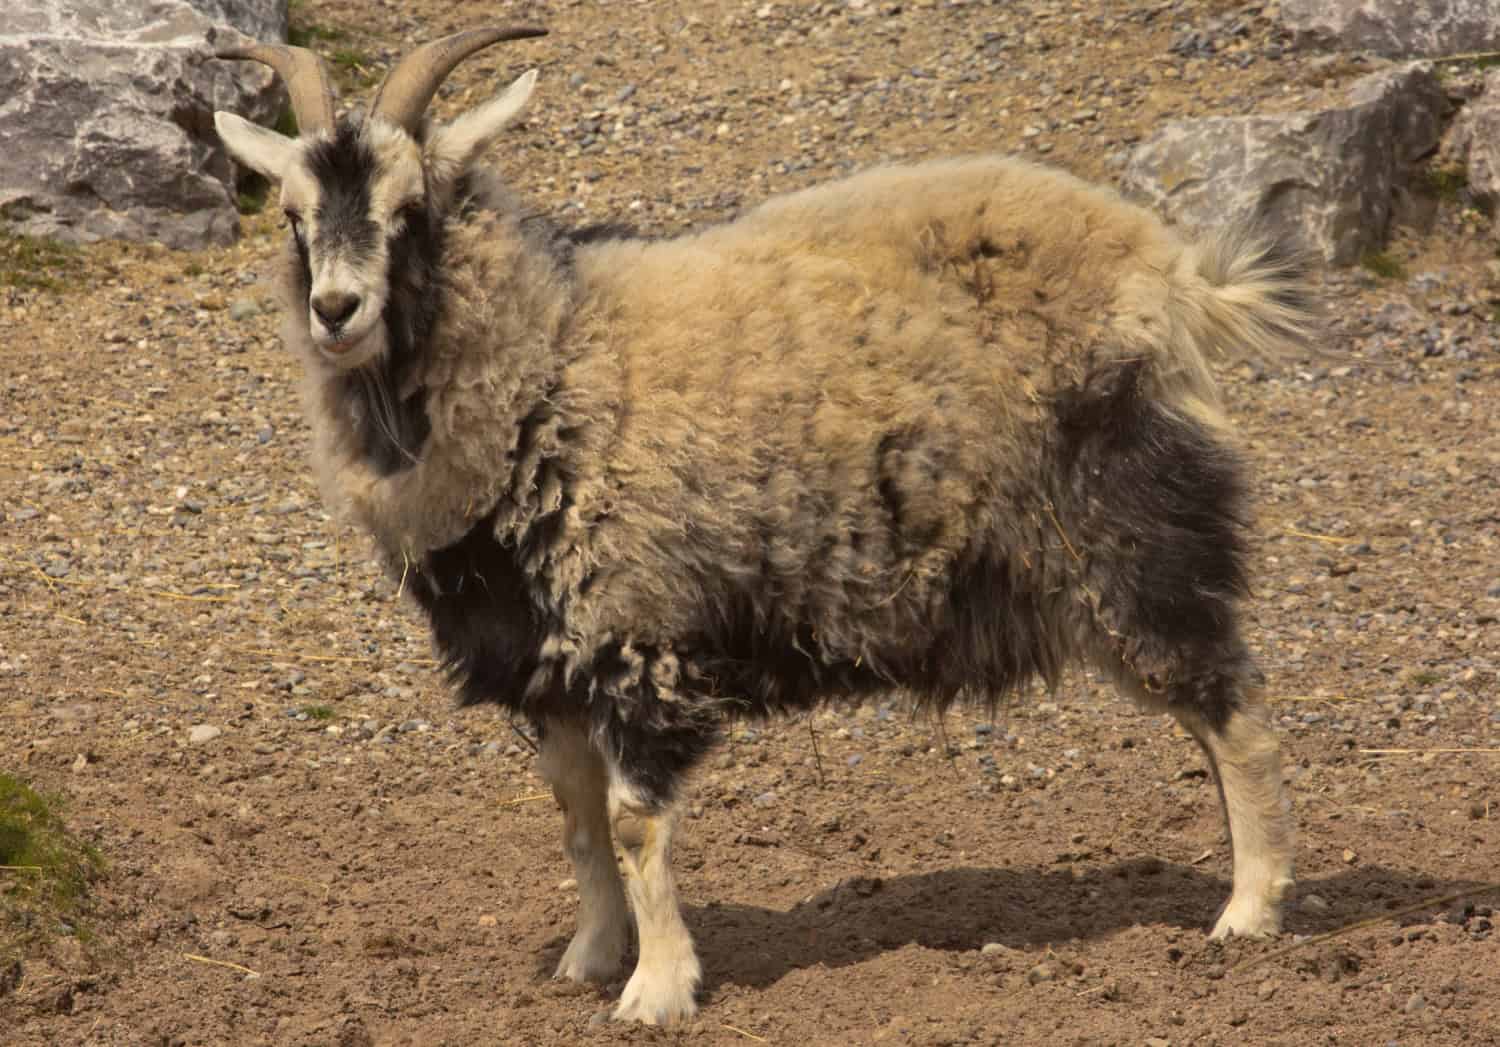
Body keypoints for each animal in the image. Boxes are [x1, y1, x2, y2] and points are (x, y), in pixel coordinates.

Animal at [213, 27, 1312, 1025]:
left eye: (412, 210)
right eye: (292, 217)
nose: (336, 310)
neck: (549, 360)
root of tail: (1178, 280)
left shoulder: (636, 631)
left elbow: (633, 823)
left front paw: (656, 991)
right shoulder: (541, 658)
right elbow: (576, 819)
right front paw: (589, 957)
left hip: (1133, 533)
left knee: (1232, 706)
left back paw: (1249, 912)